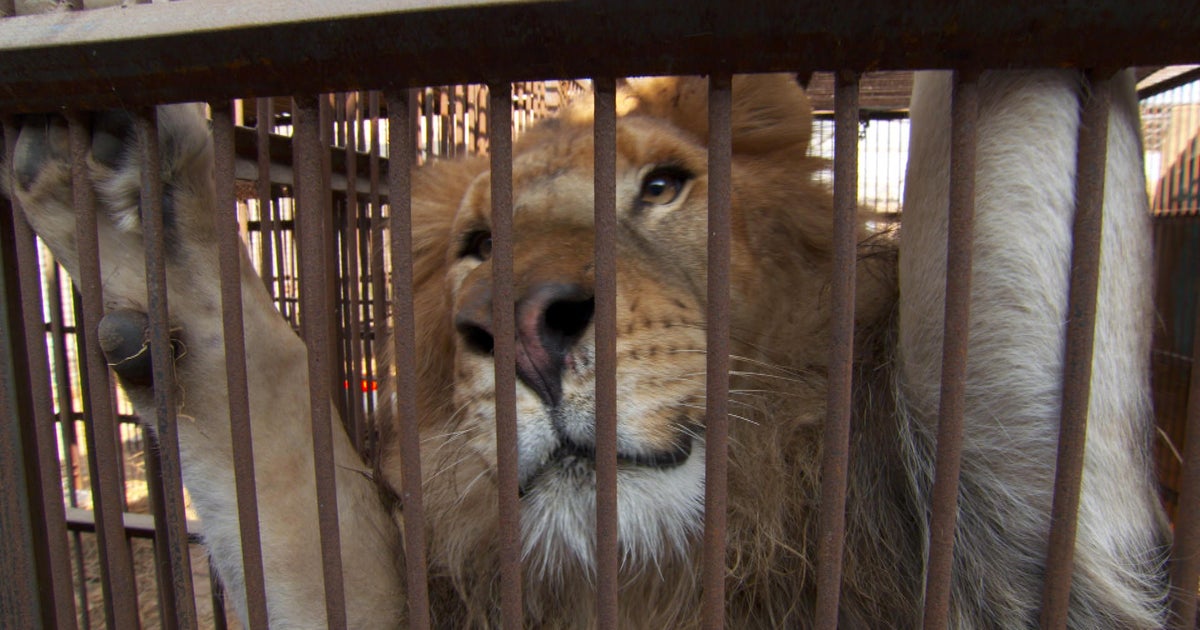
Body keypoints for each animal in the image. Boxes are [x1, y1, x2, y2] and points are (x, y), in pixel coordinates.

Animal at [5, 71, 1170, 628]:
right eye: (477, 246)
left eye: (662, 186)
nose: (523, 327)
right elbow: (277, 433)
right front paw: (124, 190)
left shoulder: (1011, 551)